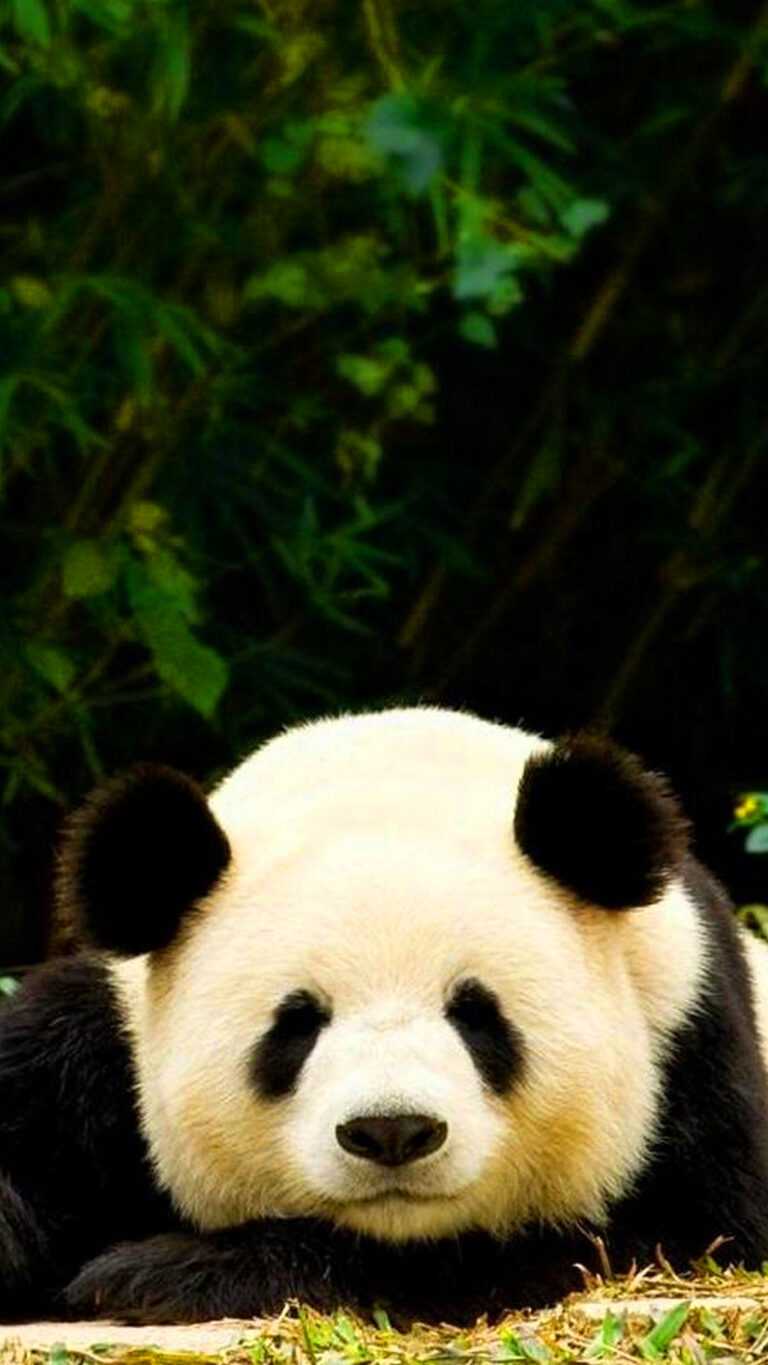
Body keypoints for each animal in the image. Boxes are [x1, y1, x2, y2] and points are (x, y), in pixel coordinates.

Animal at [2, 705, 768, 1326]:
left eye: (477, 1015)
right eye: (297, 1024)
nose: (392, 1131)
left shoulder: (687, 1039)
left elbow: (649, 1238)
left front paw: (163, 1273)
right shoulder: (91, 1039)